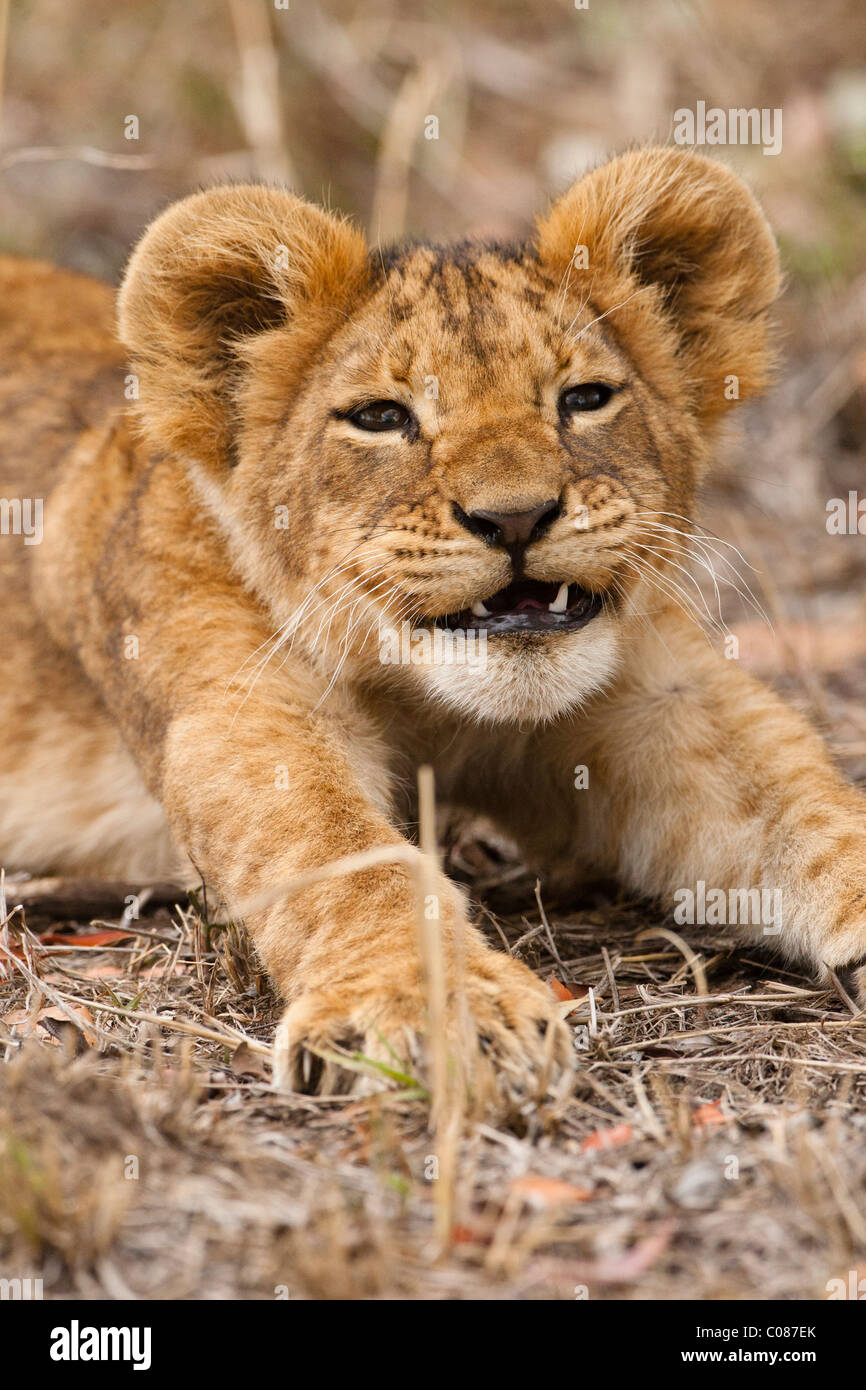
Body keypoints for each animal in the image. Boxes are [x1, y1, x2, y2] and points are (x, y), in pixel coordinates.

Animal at [2, 147, 865, 1111]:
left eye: (586, 398)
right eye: (382, 417)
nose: (516, 517)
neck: (431, 701)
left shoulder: (662, 695)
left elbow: (803, 803)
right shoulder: (241, 715)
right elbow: (344, 856)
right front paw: (436, 1011)